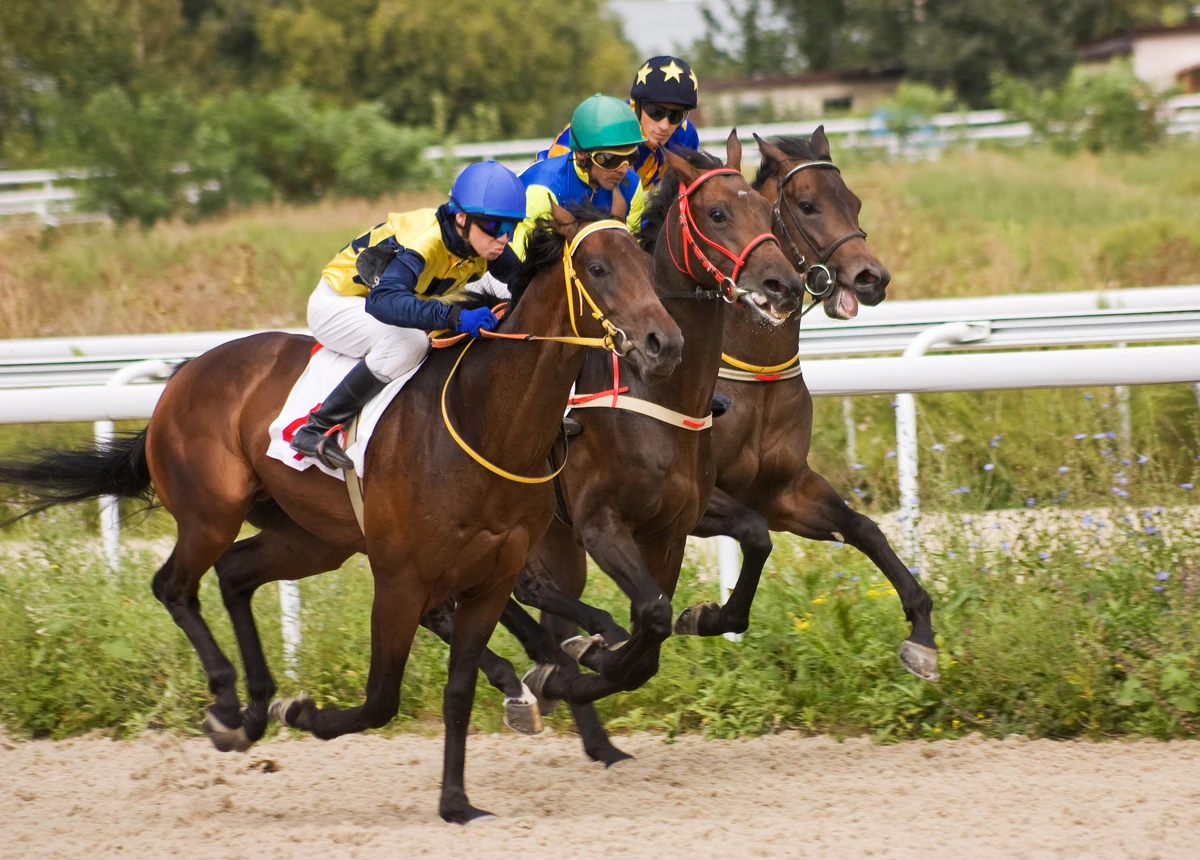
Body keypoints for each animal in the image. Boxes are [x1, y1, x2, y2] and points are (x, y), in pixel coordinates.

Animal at [0, 205, 684, 823]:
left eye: (645, 261)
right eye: (597, 268)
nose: (665, 343)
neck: (484, 422)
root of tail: (182, 378)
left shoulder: (491, 574)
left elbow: (459, 688)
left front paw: (457, 801)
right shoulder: (401, 578)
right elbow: (381, 700)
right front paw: (307, 715)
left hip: (311, 538)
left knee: (235, 574)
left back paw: (254, 708)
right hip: (211, 514)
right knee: (174, 585)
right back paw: (228, 703)